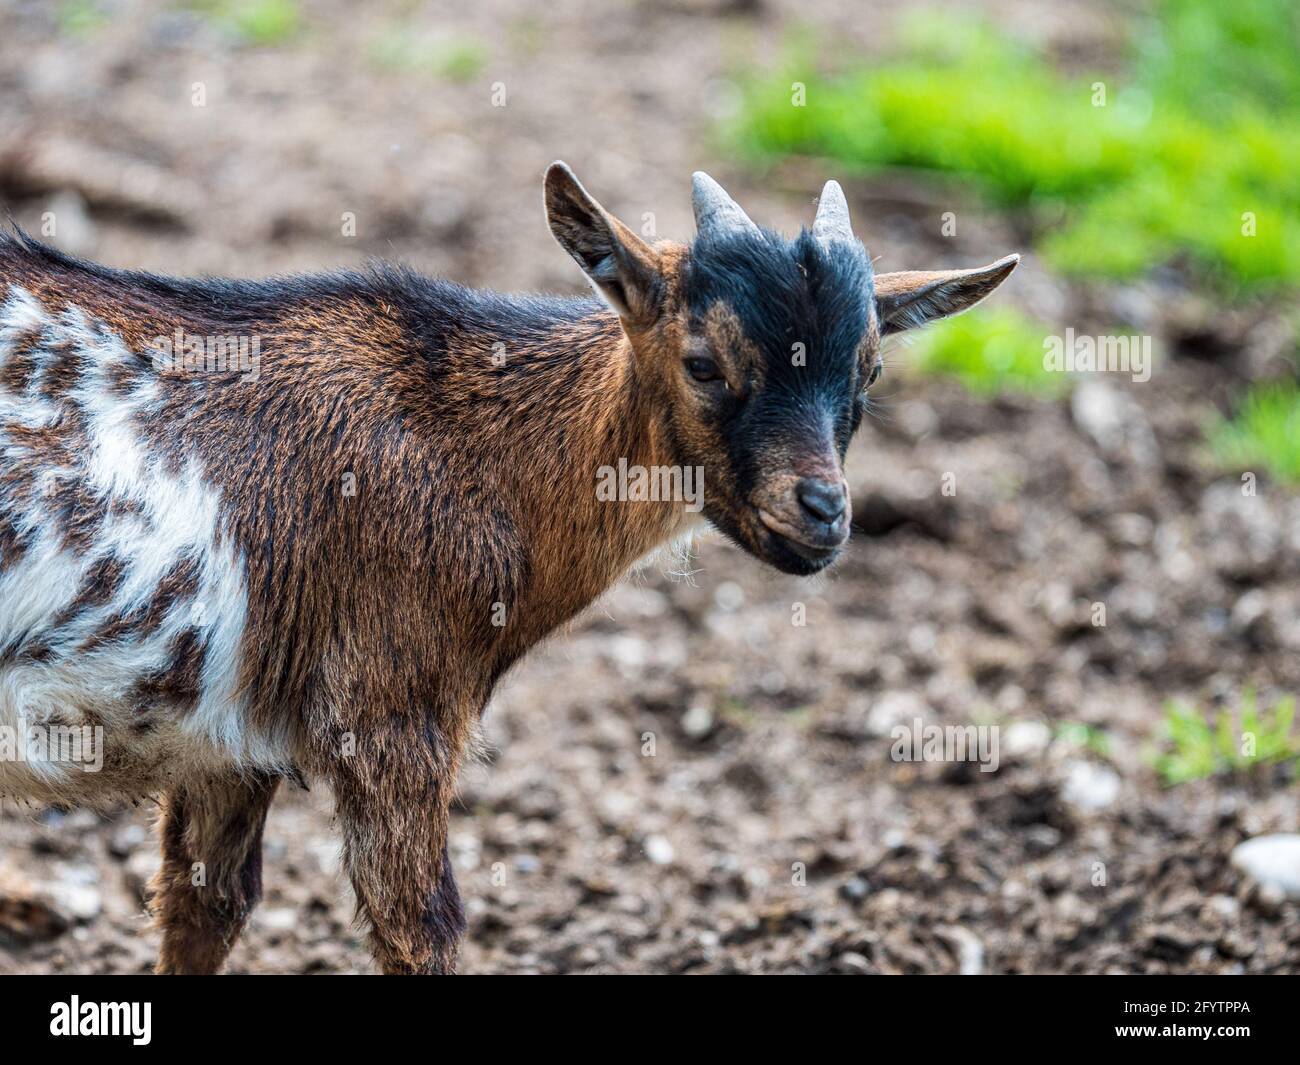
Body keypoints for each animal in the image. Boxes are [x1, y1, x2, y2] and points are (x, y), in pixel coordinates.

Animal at [0, 163, 1017, 973]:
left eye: (870, 370)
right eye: (703, 361)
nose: (822, 513)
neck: (467, 438)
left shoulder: (227, 745)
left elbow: (202, 909)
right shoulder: (392, 713)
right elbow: (421, 927)